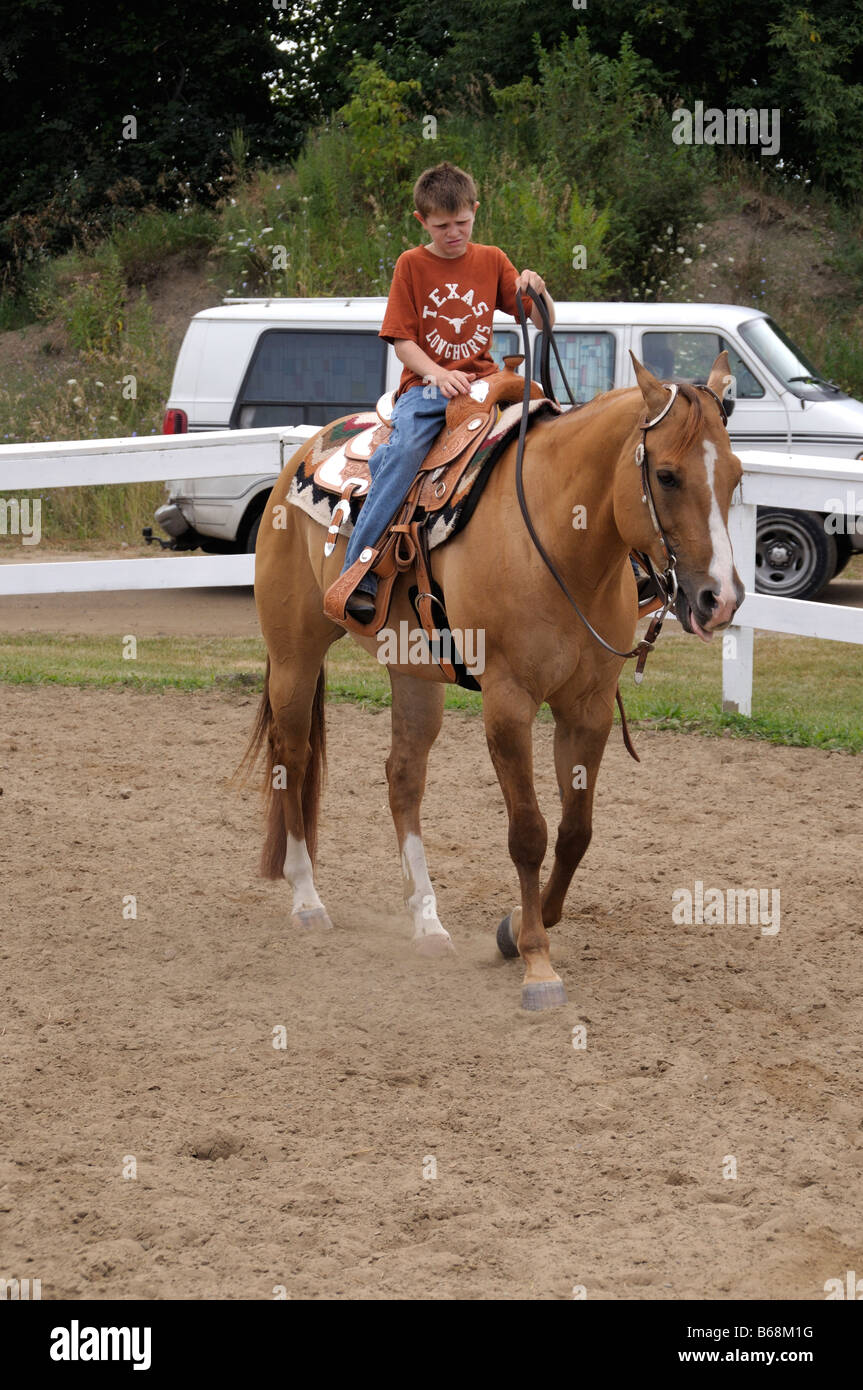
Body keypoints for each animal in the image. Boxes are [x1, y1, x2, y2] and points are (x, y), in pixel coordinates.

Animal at [243, 352, 744, 1011]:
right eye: (666, 475)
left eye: (735, 476)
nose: (720, 600)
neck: (559, 542)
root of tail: (302, 454)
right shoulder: (508, 704)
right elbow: (528, 832)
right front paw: (536, 962)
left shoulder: (586, 709)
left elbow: (576, 831)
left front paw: (514, 929)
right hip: (295, 655)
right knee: (293, 759)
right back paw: (306, 899)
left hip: (413, 672)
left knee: (403, 777)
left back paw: (428, 922)